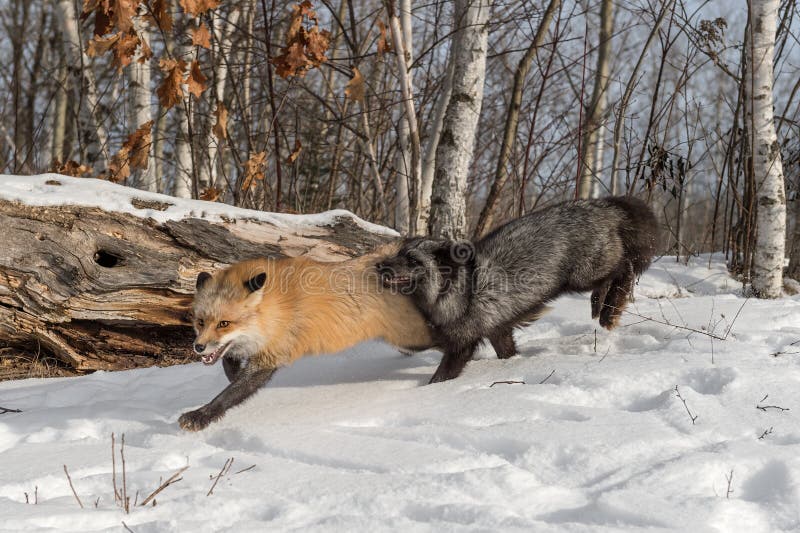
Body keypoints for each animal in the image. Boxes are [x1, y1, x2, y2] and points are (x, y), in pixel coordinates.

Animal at [180, 242, 437, 431]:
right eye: (200, 322)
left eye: (224, 324)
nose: (198, 347)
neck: (275, 309)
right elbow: (228, 364)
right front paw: (232, 374)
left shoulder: (271, 355)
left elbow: (228, 395)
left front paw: (201, 415)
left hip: (413, 339)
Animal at [376, 196, 658, 383]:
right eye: (399, 253)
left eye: (413, 261)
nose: (379, 266)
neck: (460, 292)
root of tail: (601, 205)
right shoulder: (498, 329)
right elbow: (507, 352)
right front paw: (515, 366)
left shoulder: (462, 345)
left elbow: (441, 376)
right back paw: (600, 305)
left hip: (584, 275)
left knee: (625, 268)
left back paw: (608, 311)